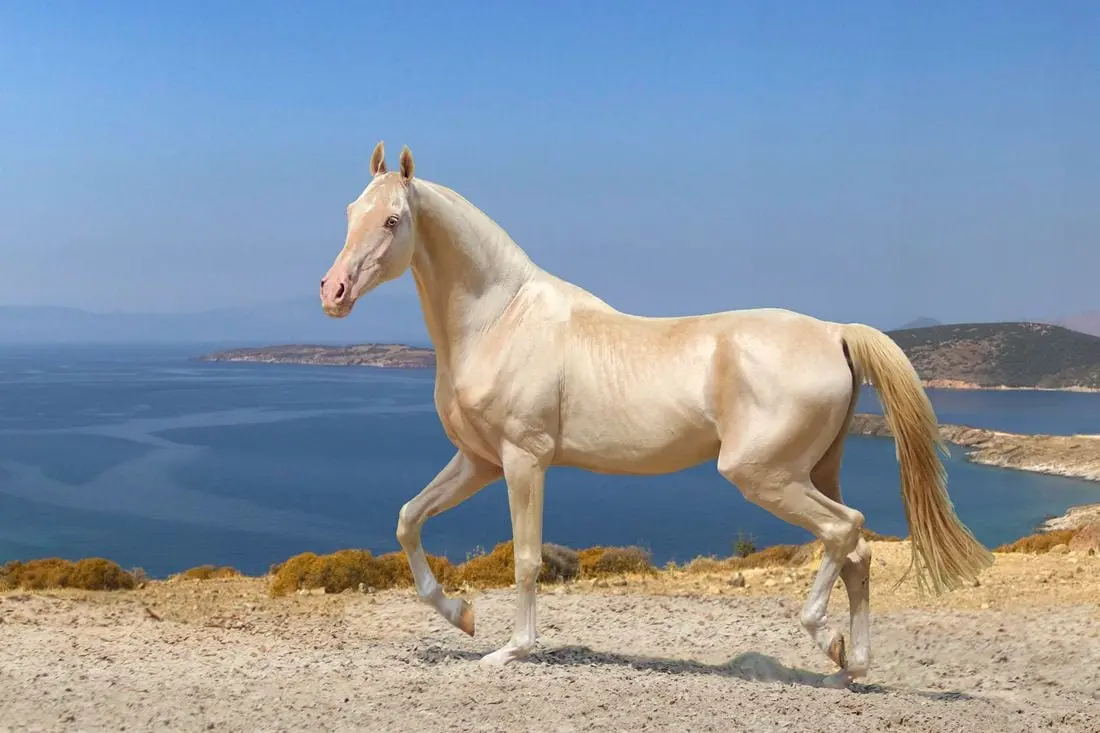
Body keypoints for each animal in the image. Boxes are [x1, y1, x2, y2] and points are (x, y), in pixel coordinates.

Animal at [318, 141, 994, 681]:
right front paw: (461, 616)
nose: (333, 292)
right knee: (857, 553)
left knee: (844, 529)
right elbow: (408, 520)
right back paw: (851, 663)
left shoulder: (523, 460)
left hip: (765, 475)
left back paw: (822, 636)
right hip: (814, 471)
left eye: (393, 219)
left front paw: (510, 649)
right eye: (350, 212)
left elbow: (527, 558)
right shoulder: (478, 461)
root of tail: (835, 334)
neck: (500, 319)